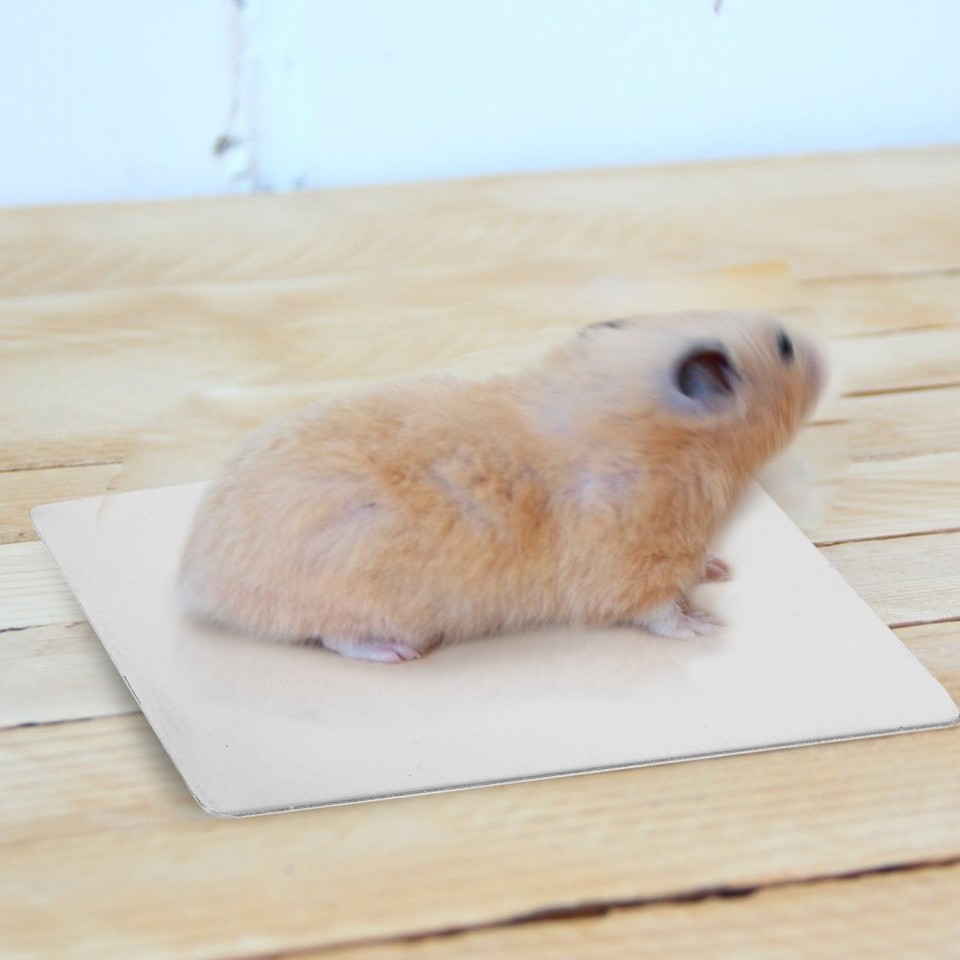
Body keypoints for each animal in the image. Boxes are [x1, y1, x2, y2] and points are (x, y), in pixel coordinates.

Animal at [178, 311, 825, 663]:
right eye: (785, 347)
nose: (823, 352)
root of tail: (194, 579)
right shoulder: (634, 565)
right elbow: (660, 611)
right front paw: (707, 627)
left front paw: (719, 569)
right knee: (334, 637)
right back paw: (396, 653)